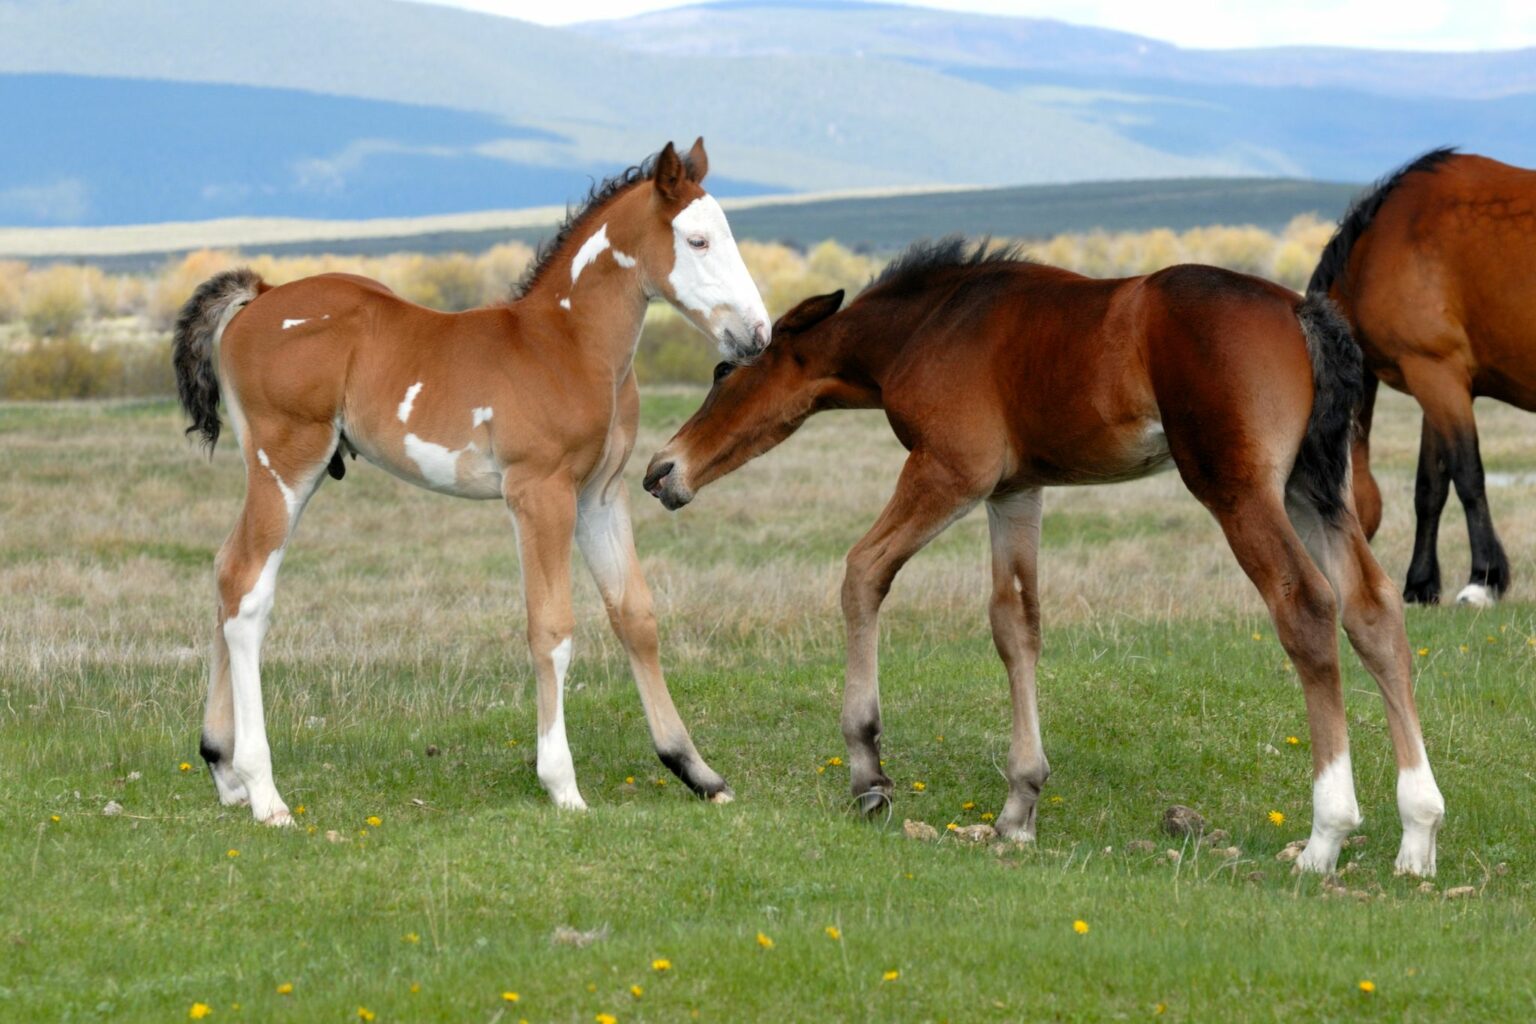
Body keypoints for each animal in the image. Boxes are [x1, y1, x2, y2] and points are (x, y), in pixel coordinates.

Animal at [173, 140, 769, 825]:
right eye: (697, 240)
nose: (757, 334)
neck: (566, 344)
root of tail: (261, 296)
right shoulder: (540, 493)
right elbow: (552, 628)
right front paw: (563, 786)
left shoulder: (601, 494)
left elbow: (636, 617)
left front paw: (695, 770)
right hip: (287, 462)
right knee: (248, 591)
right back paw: (265, 793)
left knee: (225, 570)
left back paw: (223, 770)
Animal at [644, 239, 1446, 876]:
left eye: (723, 373)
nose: (660, 471)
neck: (930, 327)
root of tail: (1302, 311)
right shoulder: (1015, 491)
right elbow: (1015, 623)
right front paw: (1019, 804)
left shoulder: (950, 473)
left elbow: (863, 572)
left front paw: (869, 772)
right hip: (1315, 488)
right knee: (1374, 612)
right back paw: (1418, 834)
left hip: (1239, 488)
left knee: (1306, 607)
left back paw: (1326, 835)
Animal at [1310, 148, 1536, 607]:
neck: (1378, 244)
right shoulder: (1434, 379)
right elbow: (1430, 488)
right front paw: (1420, 584)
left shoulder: (1436, 372)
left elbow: (1468, 476)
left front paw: (1483, 580)